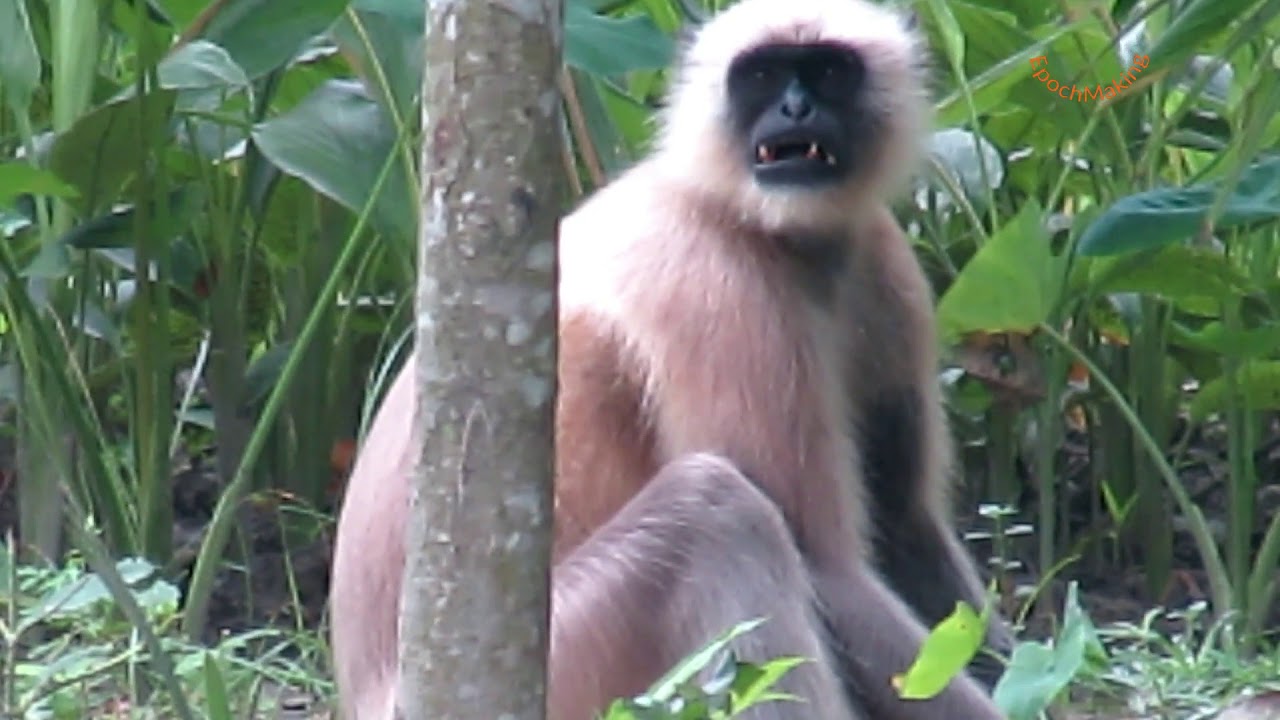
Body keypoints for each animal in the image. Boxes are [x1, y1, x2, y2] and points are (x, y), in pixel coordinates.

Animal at [328, 0, 1014, 717]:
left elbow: (908, 526)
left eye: (828, 72)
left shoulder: (884, 262)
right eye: (763, 76)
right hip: (560, 666)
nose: (795, 109)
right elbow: (828, 569)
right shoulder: (715, 289)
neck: (751, 218)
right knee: (717, 511)